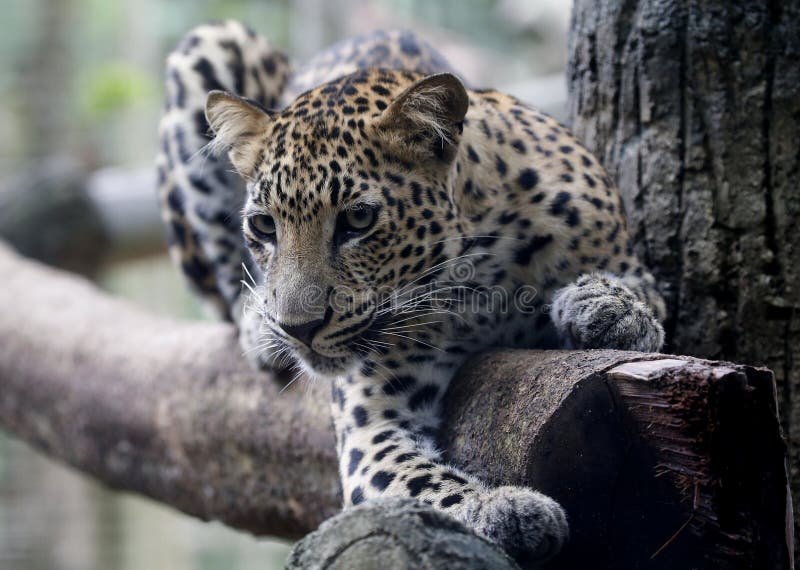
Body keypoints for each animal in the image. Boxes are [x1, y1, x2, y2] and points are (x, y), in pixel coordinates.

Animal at [157, 20, 666, 566]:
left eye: (358, 219)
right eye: (264, 226)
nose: (300, 329)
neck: (479, 276)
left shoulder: (627, 258)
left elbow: (646, 297)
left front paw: (608, 309)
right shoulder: (373, 420)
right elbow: (416, 481)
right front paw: (504, 510)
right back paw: (259, 328)